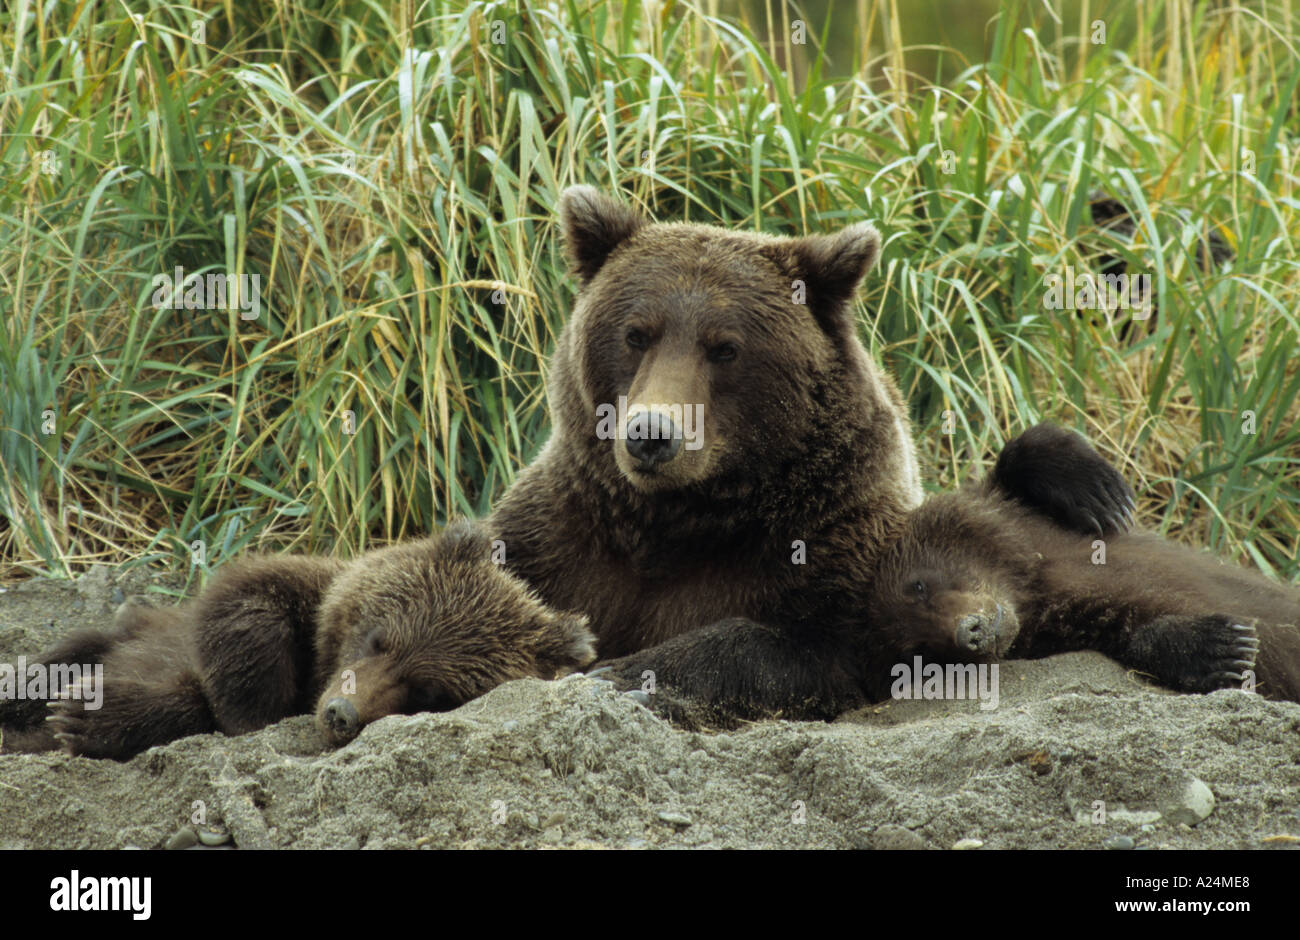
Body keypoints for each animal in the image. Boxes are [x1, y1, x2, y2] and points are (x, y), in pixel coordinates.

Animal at [0, 523, 595, 759]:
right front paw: (250, 701)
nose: (340, 713)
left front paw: (86, 716)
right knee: (66, 652)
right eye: (378, 639)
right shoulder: (316, 591)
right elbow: (245, 595)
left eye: (429, 691)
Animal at [865, 431, 1300, 704]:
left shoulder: (1013, 515)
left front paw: (1100, 492)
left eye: (919, 586)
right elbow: (1133, 628)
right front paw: (1224, 646)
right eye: (925, 649)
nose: (968, 632)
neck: (1027, 581)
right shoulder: (1070, 619)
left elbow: (1019, 462)